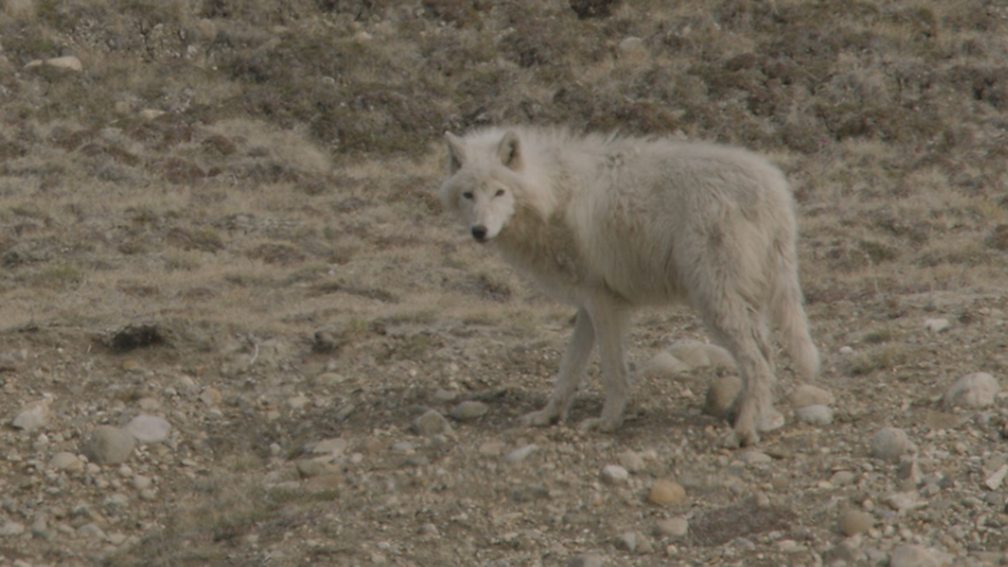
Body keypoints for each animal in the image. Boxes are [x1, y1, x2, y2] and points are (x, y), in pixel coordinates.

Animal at [438, 126, 819, 446]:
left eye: (499, 192)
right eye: (468, 195)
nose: (479, 231)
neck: (554, 193)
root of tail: (776, 190)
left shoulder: (605, 304)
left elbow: (613, 371)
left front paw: (607, 422)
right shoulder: (588, 306)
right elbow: (568, 371)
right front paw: (549, 415)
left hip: (715, 304)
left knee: (758, 364)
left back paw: (743, 432)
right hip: (741, 303)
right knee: (766, 358)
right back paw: (745, 414)